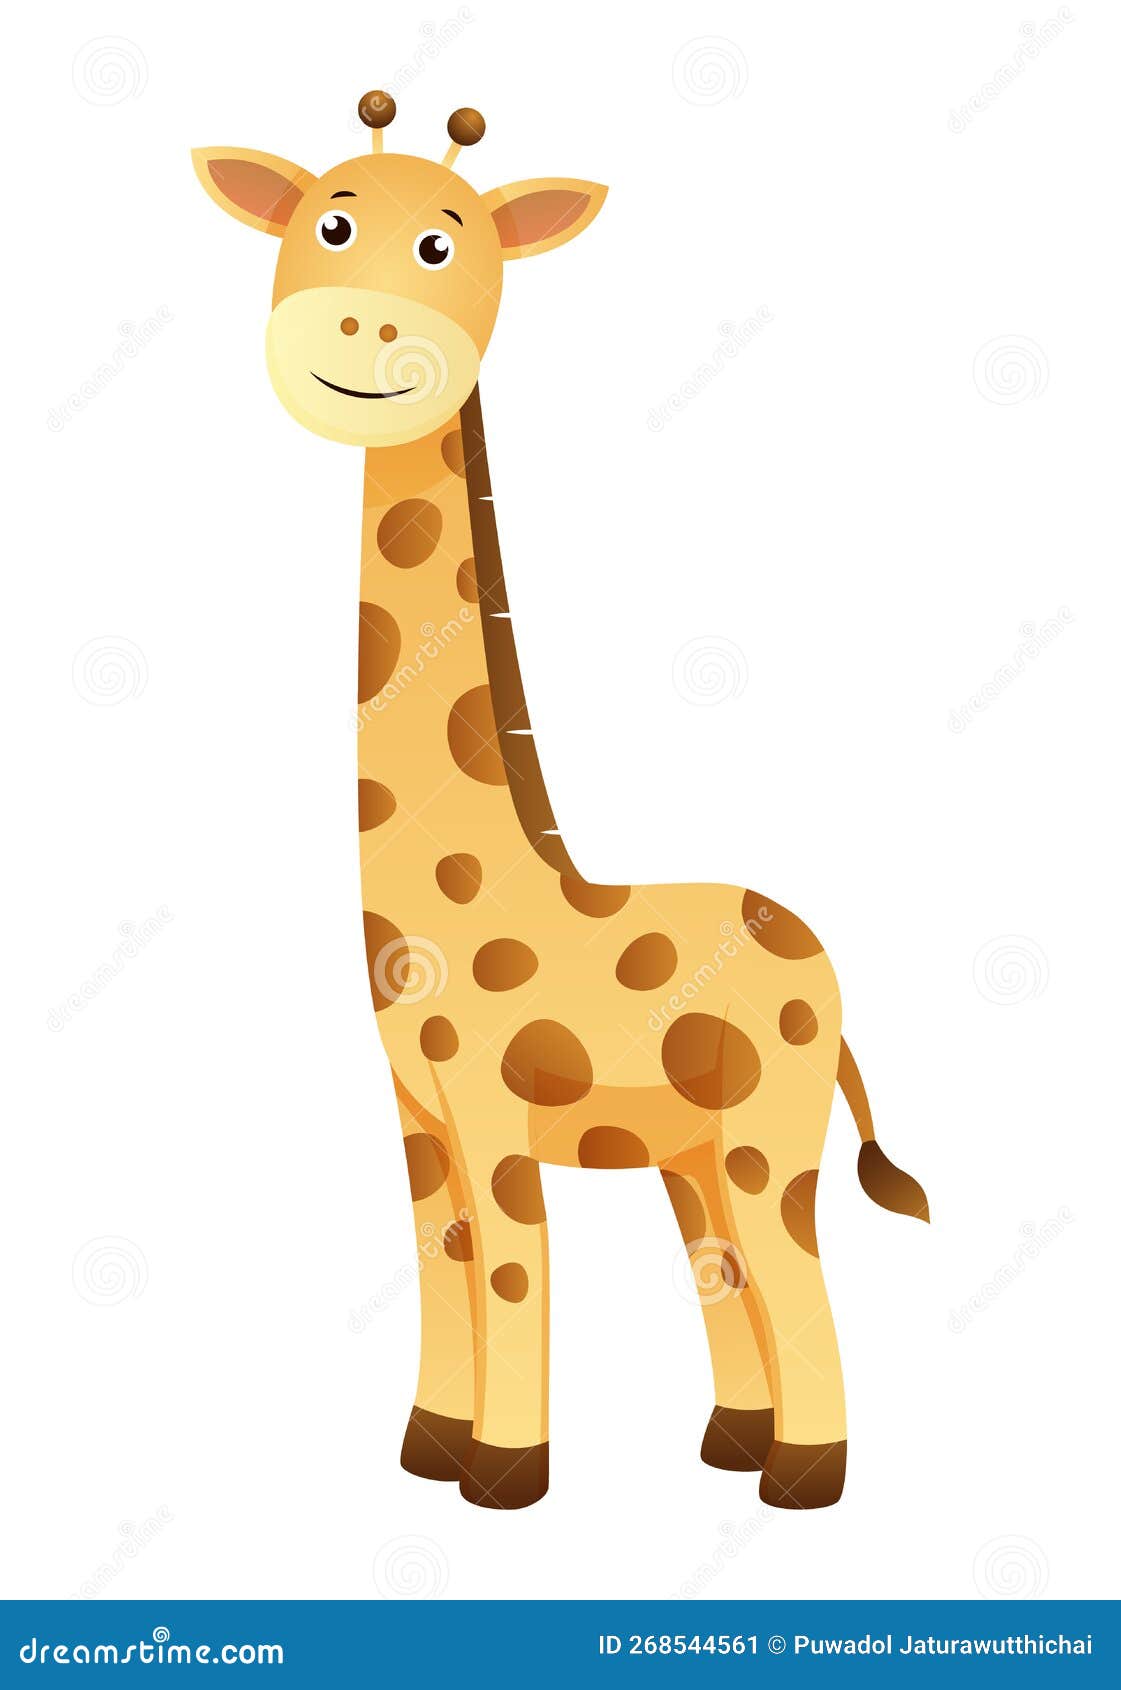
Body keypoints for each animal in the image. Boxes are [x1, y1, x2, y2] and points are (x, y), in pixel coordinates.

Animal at [193, 91, 929, 1513]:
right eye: (327, 224)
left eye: (443, 244)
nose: (357, 333)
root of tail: (818, 957)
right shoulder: (414, 1114)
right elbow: (441, 1262)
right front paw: (427, 1447)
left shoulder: (490, 1109)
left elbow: (511, 1265)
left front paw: (501, 1474)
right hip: (693, 1152)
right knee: (722, 1265)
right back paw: (732, 1445)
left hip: (766, 1130)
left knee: (794, 1266)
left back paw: (802, 1479)